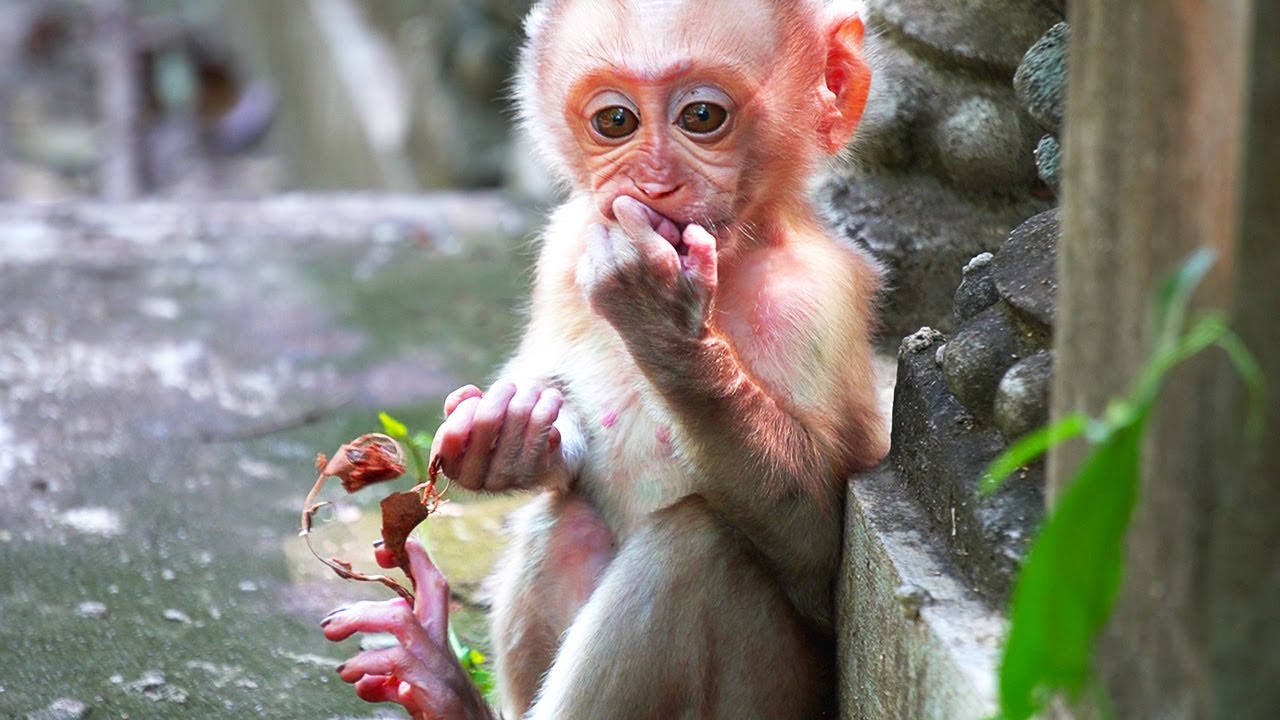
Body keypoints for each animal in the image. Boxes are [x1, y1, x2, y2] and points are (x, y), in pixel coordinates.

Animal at [320, 0, 885, 717]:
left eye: (703, 116)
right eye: (615, 121)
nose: (652, 186)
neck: (734, 259)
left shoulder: (817, 301)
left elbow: (819, 553)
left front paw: (662, 320)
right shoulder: (566, 245)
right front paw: (504, 434)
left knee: (698, 546)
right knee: (569, 522)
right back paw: (444, 686)